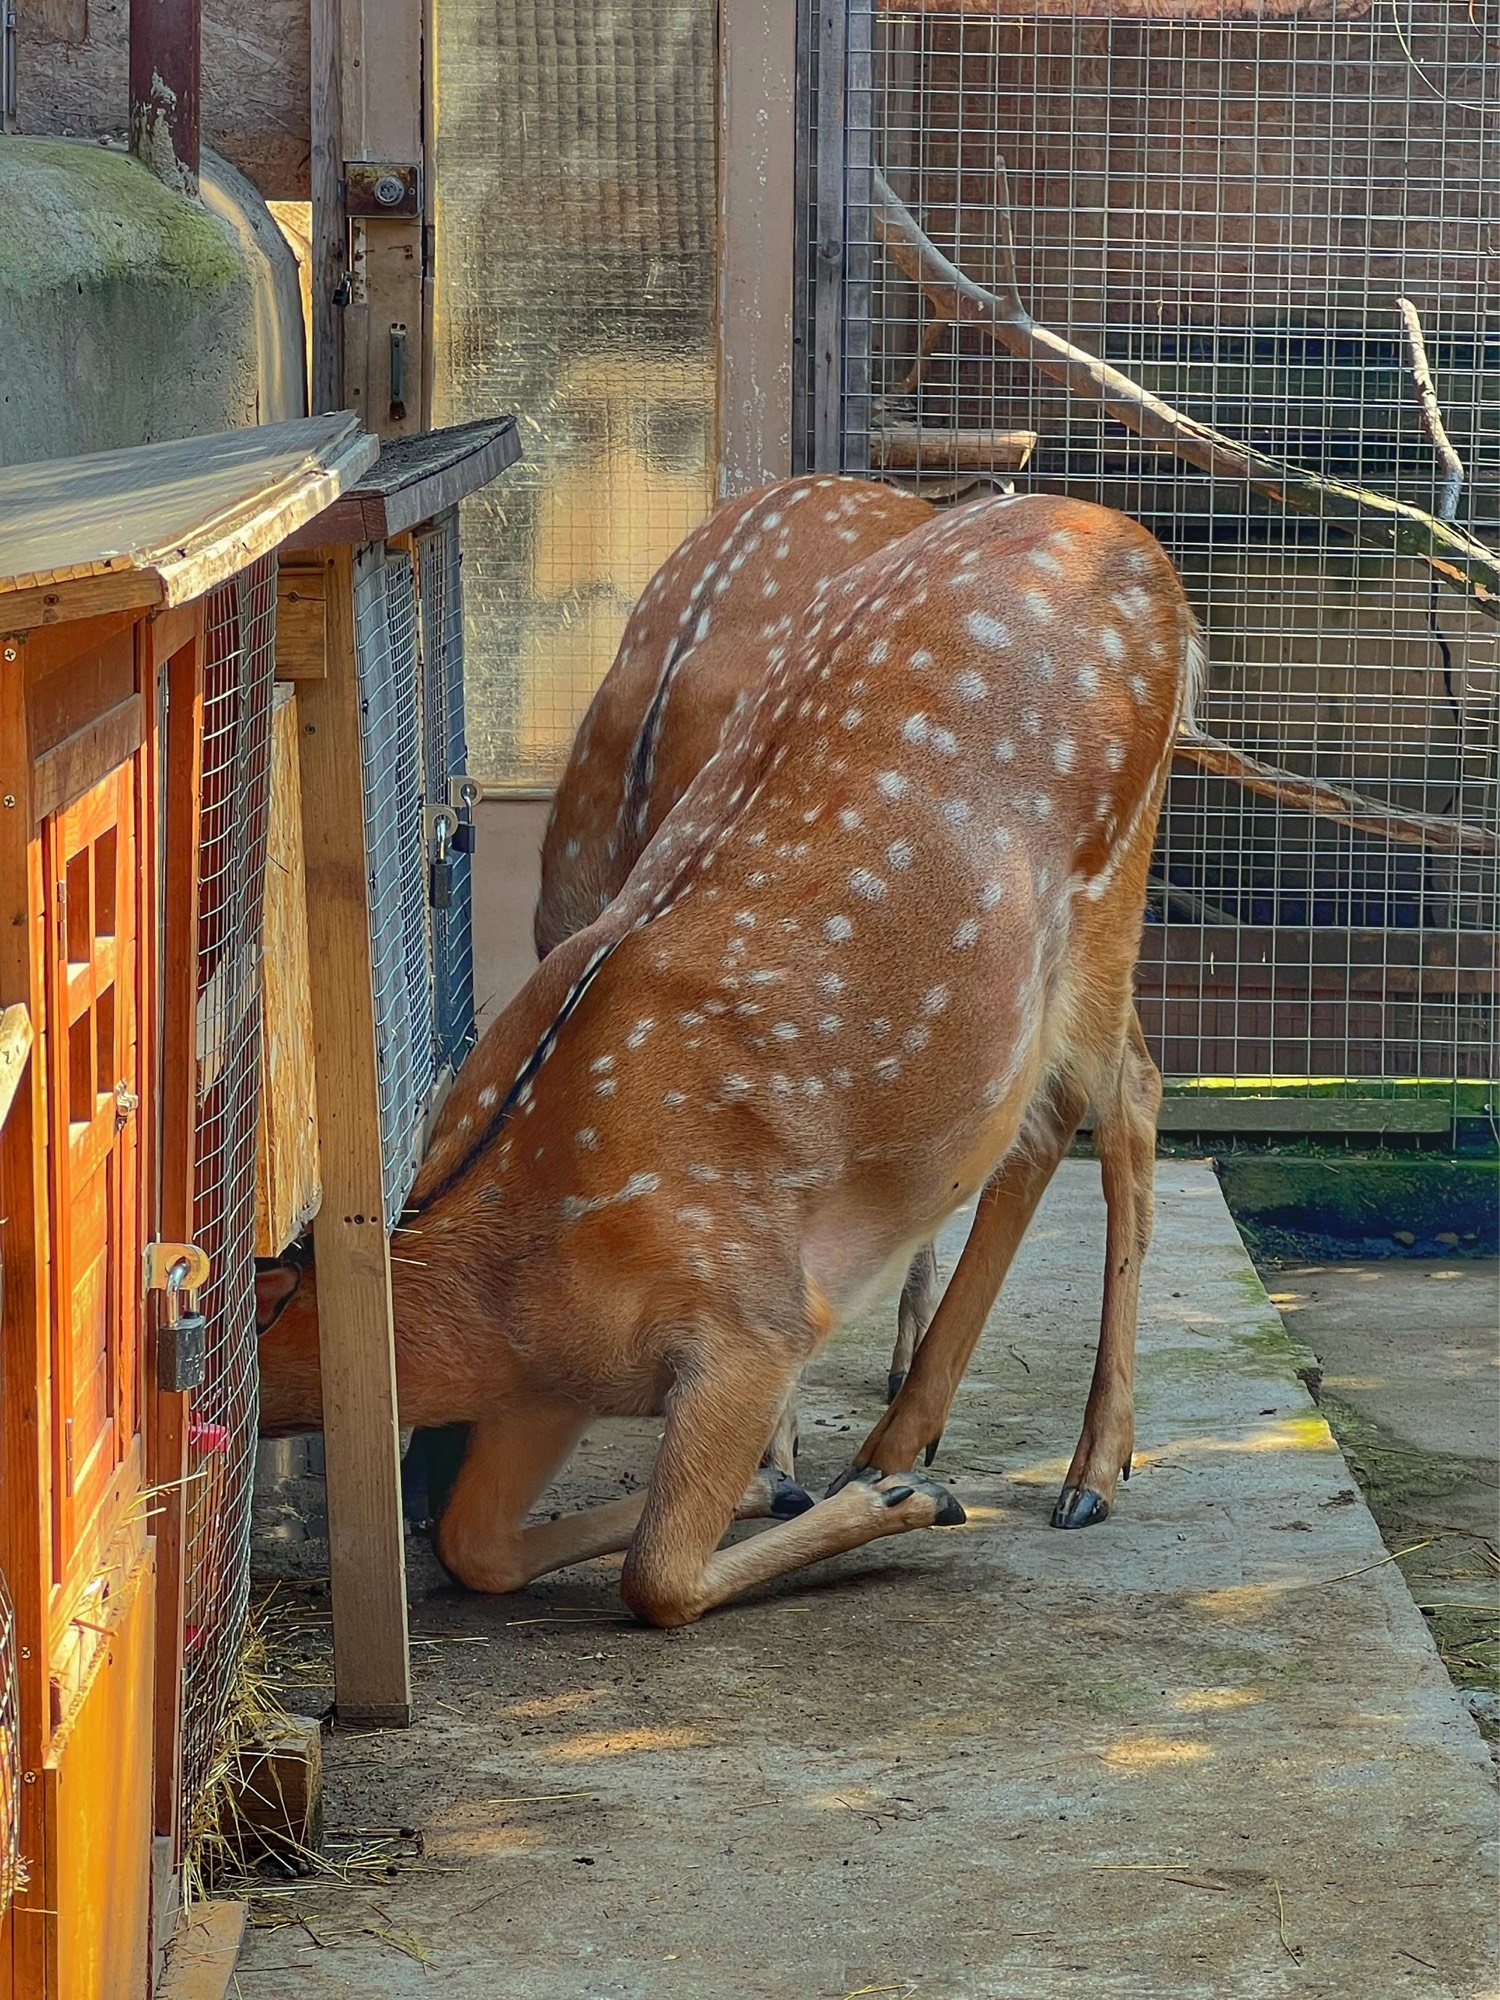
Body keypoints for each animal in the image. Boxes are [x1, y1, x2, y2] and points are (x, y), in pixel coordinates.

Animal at [256, 488, 1200, 1624]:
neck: (506, 1281)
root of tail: (1139, 546)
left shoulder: (750, 1314)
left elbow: (657, 1573)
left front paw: (868, 1497)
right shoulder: (556, 1382)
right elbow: (471, 1542)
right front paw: (786, 1483)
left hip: (1115, 877)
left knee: (1130, 1097)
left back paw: (1084, 1471)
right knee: (1041, 1122)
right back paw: (900, 1442)